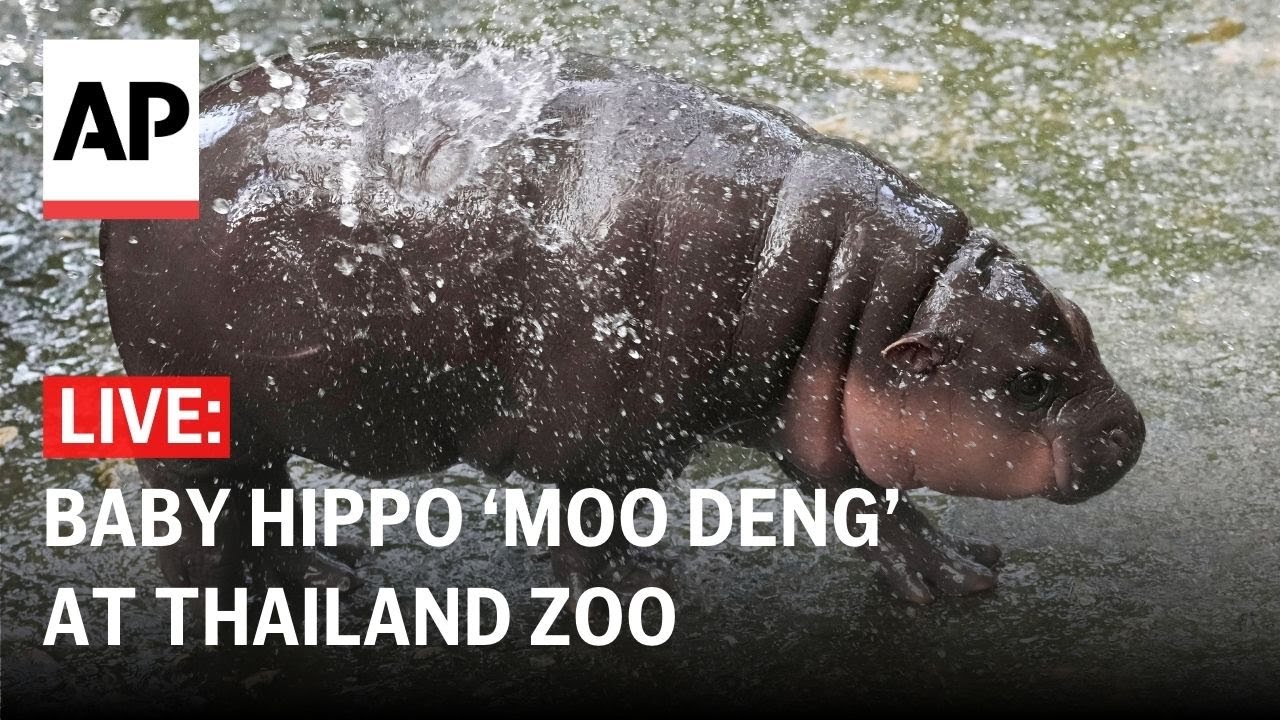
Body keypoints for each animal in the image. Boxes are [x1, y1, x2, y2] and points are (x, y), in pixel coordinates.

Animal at [99, 40, 1144, 604]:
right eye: (1030, 381)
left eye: (1081, 324)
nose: (1129, 430)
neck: (856, 294)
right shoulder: (602, 432)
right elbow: (585, 519)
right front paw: (635, 594)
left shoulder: (816, 411)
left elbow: (864, 496)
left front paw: (959, 573)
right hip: (200, 409)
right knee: (204, 512)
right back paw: (297, 591)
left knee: (253, 498)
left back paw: (334, 565)